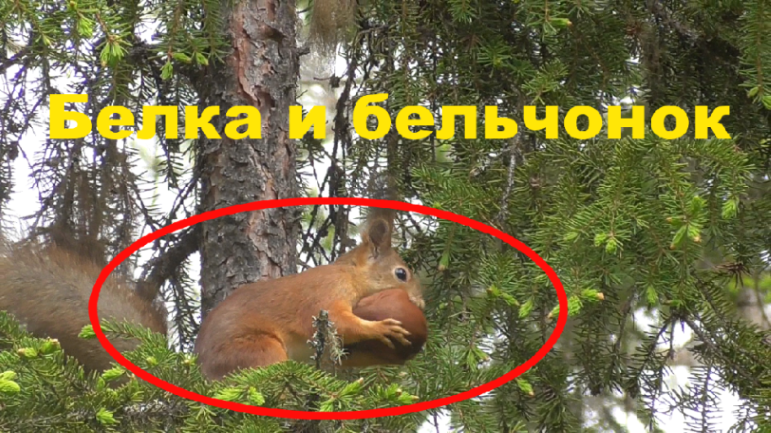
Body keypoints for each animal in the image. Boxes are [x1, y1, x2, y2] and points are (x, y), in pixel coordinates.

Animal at [194, 208, 427, 380]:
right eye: (401, 274)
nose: (421, 303)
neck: (349, 274)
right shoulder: (327, 293)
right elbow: (339, 321)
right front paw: (380, 328)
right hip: (256, 350)